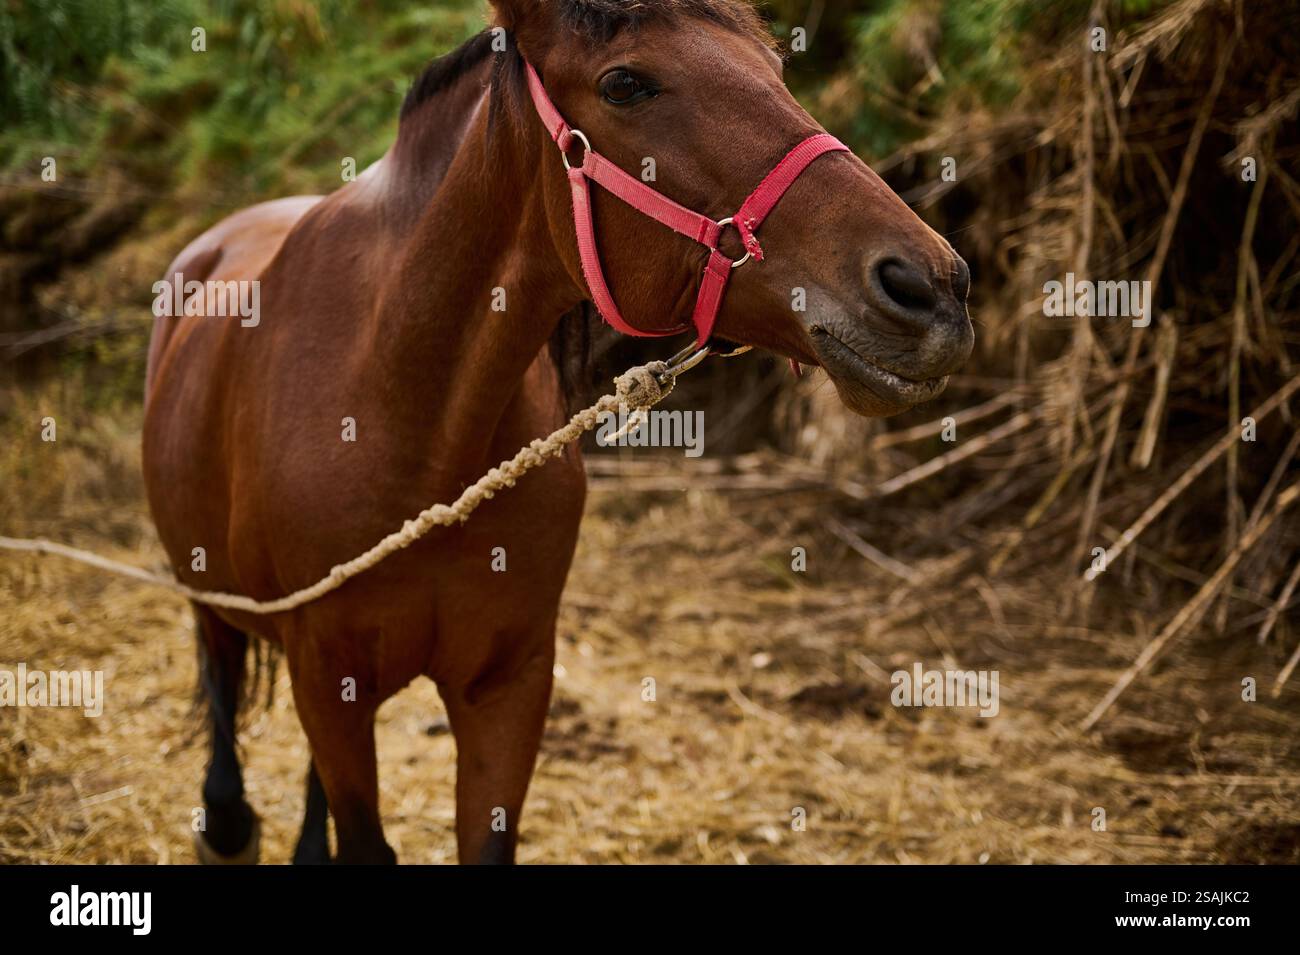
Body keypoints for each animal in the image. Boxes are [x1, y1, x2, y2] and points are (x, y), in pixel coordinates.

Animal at [142, 0, 973, 865]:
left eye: (777, 70)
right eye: (626, 84)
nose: (932, 287)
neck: (413, 426)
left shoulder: (508, 684)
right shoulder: (328, 679)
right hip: (211, 588)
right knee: (220, 677)